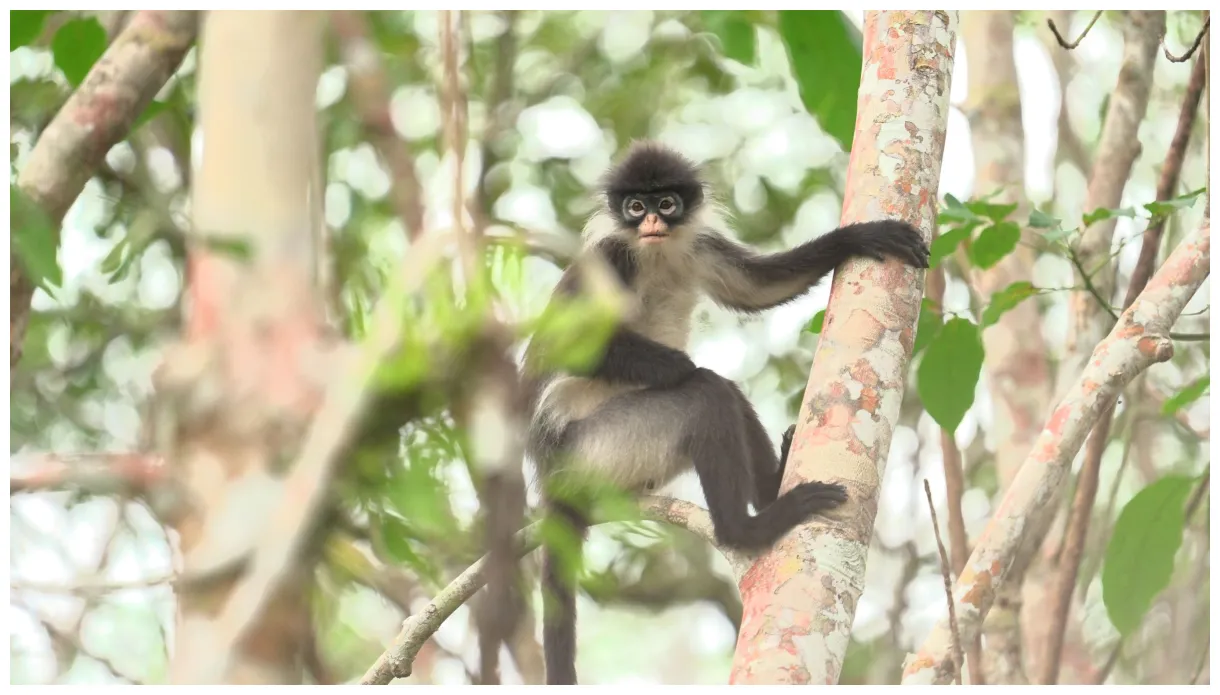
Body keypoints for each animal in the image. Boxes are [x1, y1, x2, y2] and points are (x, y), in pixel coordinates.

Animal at [521, 141, 930, 684]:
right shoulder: (610, 260)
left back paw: (770, 488)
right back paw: (748, 527)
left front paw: (859, 238)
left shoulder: (700, 247)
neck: (656, 253)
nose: (652, 220)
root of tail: (551, 474)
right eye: (635, 207)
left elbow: (756, 288)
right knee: (707, 392)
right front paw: (683, 363)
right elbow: (559, 349)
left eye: (667, 203)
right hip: (601, 445)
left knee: (728, 394)